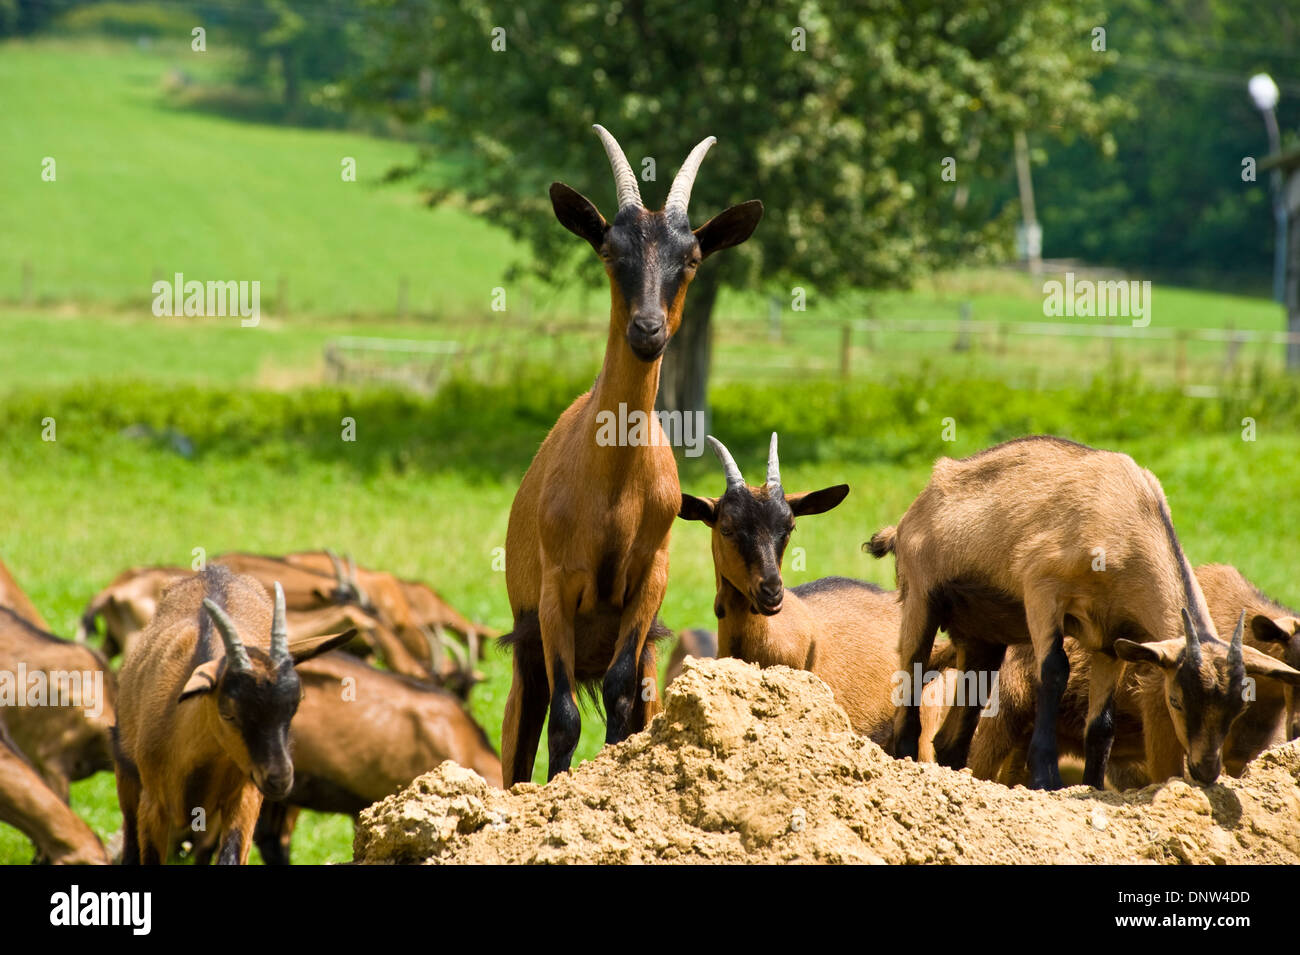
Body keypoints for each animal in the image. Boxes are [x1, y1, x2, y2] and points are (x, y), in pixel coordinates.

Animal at [113, 566, 352, 864]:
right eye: (229, 714)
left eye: (295, 705)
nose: (280, 779)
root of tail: (216, 572)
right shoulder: (152, 803)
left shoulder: (246, 795)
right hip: (127, 776)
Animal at [500, 125, 763, 784]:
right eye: (608, 251)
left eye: (690, 259)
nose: (647, 330)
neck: (614, 487)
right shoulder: (556, 591)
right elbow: (565, 718)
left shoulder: (648, 585)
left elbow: (620, 698)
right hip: (525, 662)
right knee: (519, 744)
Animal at [963, 562, 1300, 787]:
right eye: (1176, 701)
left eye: (1238, 706)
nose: (1296, 729)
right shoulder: (1158, 713)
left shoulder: (1241, 753)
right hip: (1001, 714)